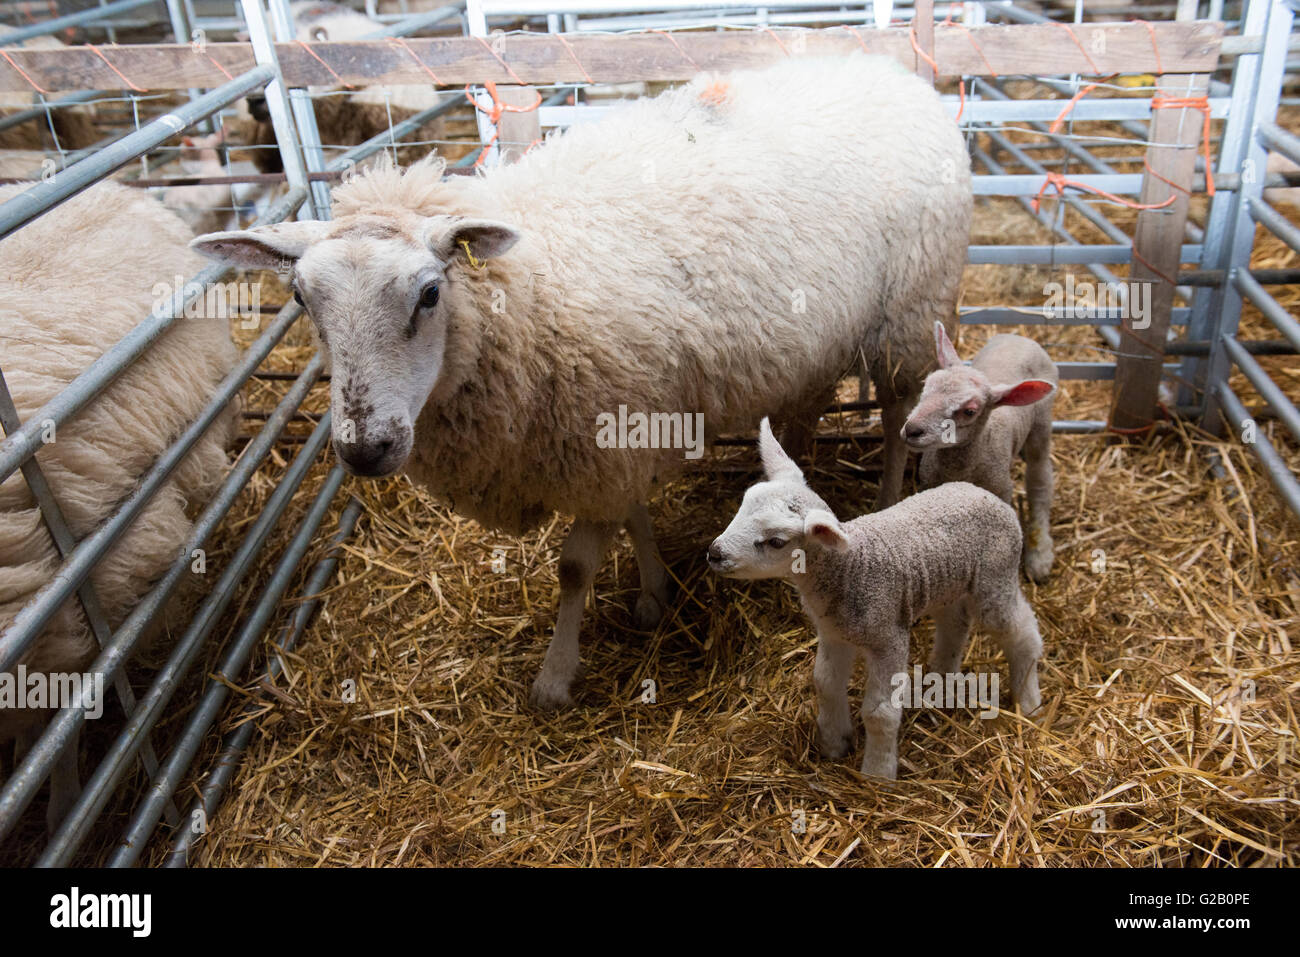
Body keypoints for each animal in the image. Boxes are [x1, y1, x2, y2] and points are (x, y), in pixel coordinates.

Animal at [189, 54, 973, 710]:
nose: (364, 448)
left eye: (429, 294)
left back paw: (890, 497)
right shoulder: (621, 426)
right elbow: (633, 514)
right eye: (301, 300)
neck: (526, 290)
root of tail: (887, 67)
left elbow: (573, 567)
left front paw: (556, 675)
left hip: (909, 310)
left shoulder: (605, 425)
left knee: (897, 414)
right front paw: (654, 593)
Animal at [707, 419, 1044, 779]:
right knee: (954, 623)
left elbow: (880, 713)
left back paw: (1029, 702)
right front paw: (833, 743)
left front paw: (877, 773)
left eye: (775, 542)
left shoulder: (888, 638)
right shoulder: (834, 633)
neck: (849, 569)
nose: (714, 553)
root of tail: (983, 492)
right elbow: (825, 683)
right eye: (742, 505)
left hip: (995, 577)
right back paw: (940, 681)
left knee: (1022, 631)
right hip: (948, 582)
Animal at [901, 324, 1058, 582]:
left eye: (970, 411)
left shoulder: (1000, 490)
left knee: (1040, 477)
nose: (912, 430)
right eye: (925, 386)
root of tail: (1022, 338)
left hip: (1042, 422)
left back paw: (1040, 554)